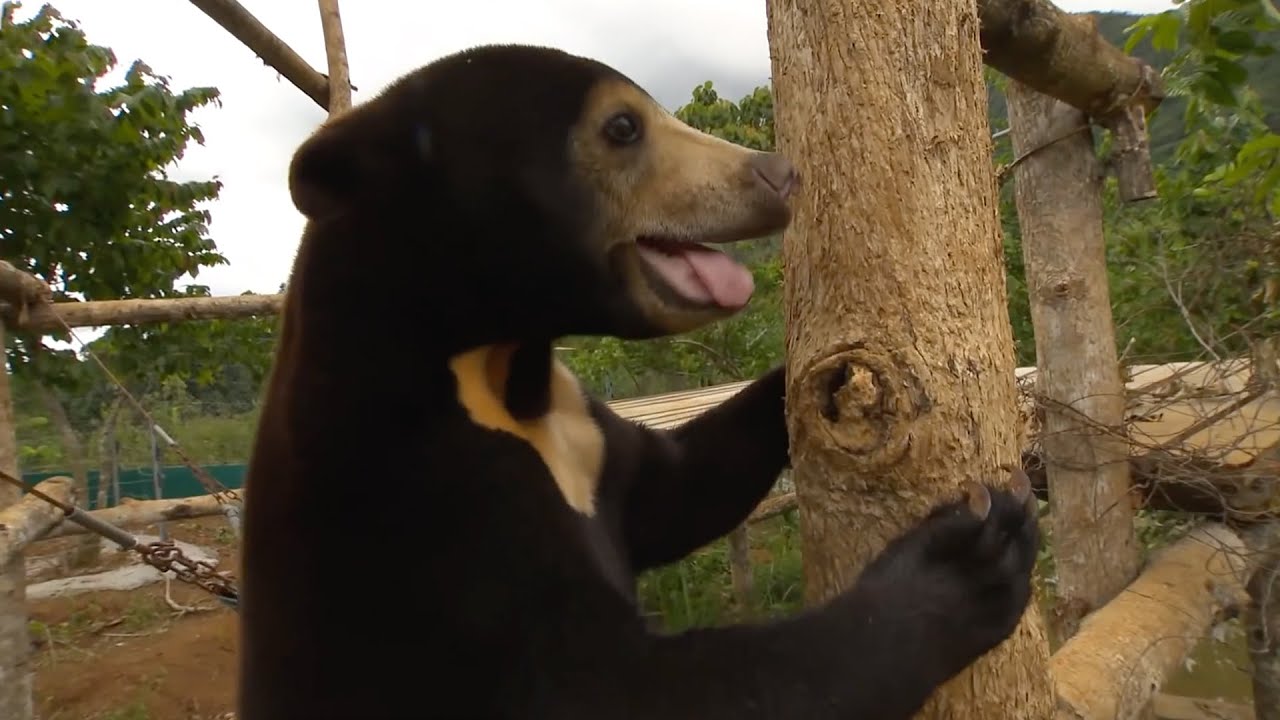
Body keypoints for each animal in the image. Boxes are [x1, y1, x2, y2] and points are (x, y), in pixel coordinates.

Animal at [237, 43, 1040, 720]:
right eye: (622, 126)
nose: (778, 174)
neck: (493, 364)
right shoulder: (423, 500)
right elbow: (620, 688)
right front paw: (974, 555)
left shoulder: (577, 430)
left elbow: (674, 486)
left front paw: (819, 379)